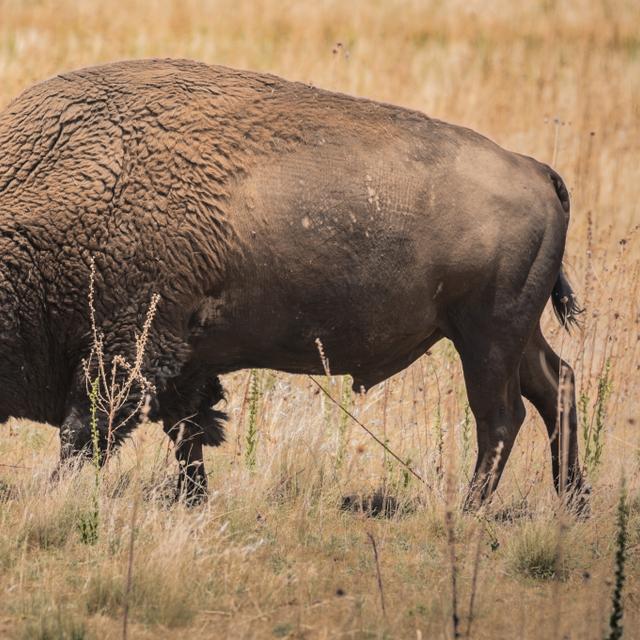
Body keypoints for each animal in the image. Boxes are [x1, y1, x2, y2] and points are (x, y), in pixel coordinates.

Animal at [0, 59, 586, 508]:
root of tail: (536, 170)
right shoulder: (180, 361)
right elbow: (186, 432)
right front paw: (192, 500)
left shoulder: (127, 351)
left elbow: (86, 434)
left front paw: (50, 496)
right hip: (512, 334)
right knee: (556, 385)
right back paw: (572, 503)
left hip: (487, 336)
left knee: (501, 416)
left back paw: (471, 510)